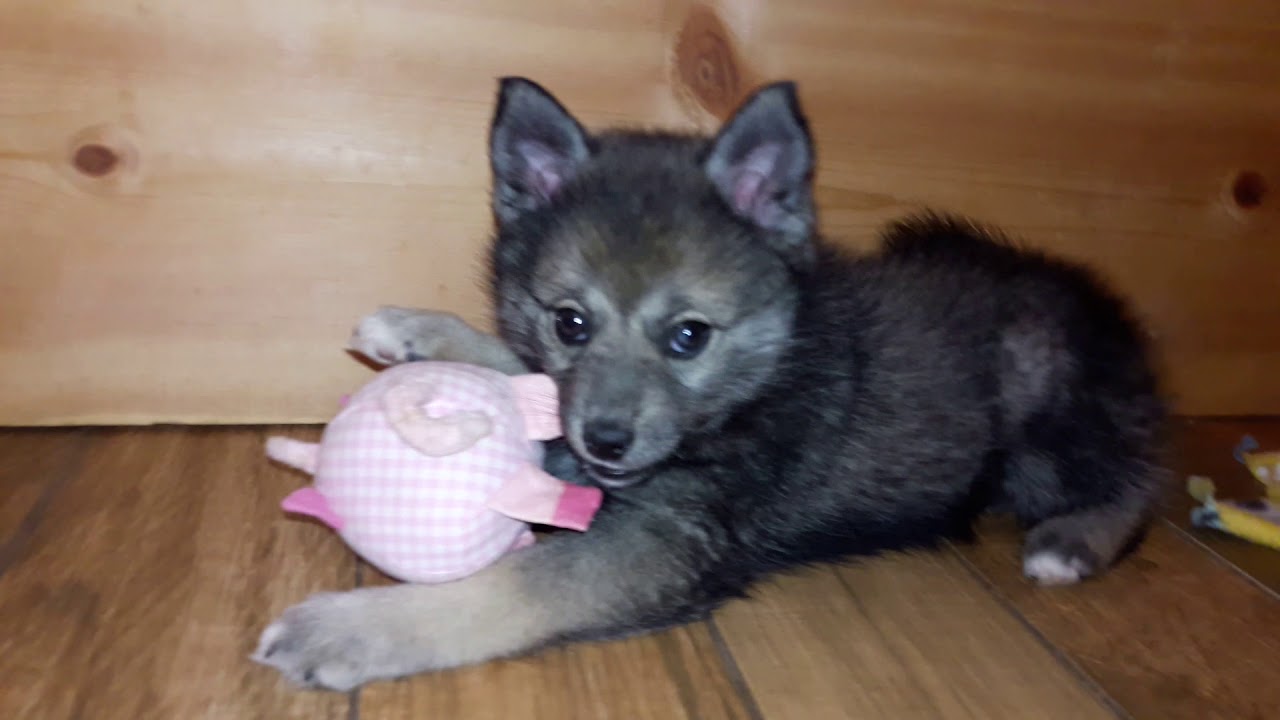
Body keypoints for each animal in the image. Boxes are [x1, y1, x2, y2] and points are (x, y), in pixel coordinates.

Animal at [253, 78, 1168, 691]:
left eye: (688, 336)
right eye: (570, 322)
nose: (607, 442)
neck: (760, 372)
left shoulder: (666, 542)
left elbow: (511, 588)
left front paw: (345, 631)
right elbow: (530, 381)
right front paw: (416, 331)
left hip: (1040, 399)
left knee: (1138, 475)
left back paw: (1070, 544)